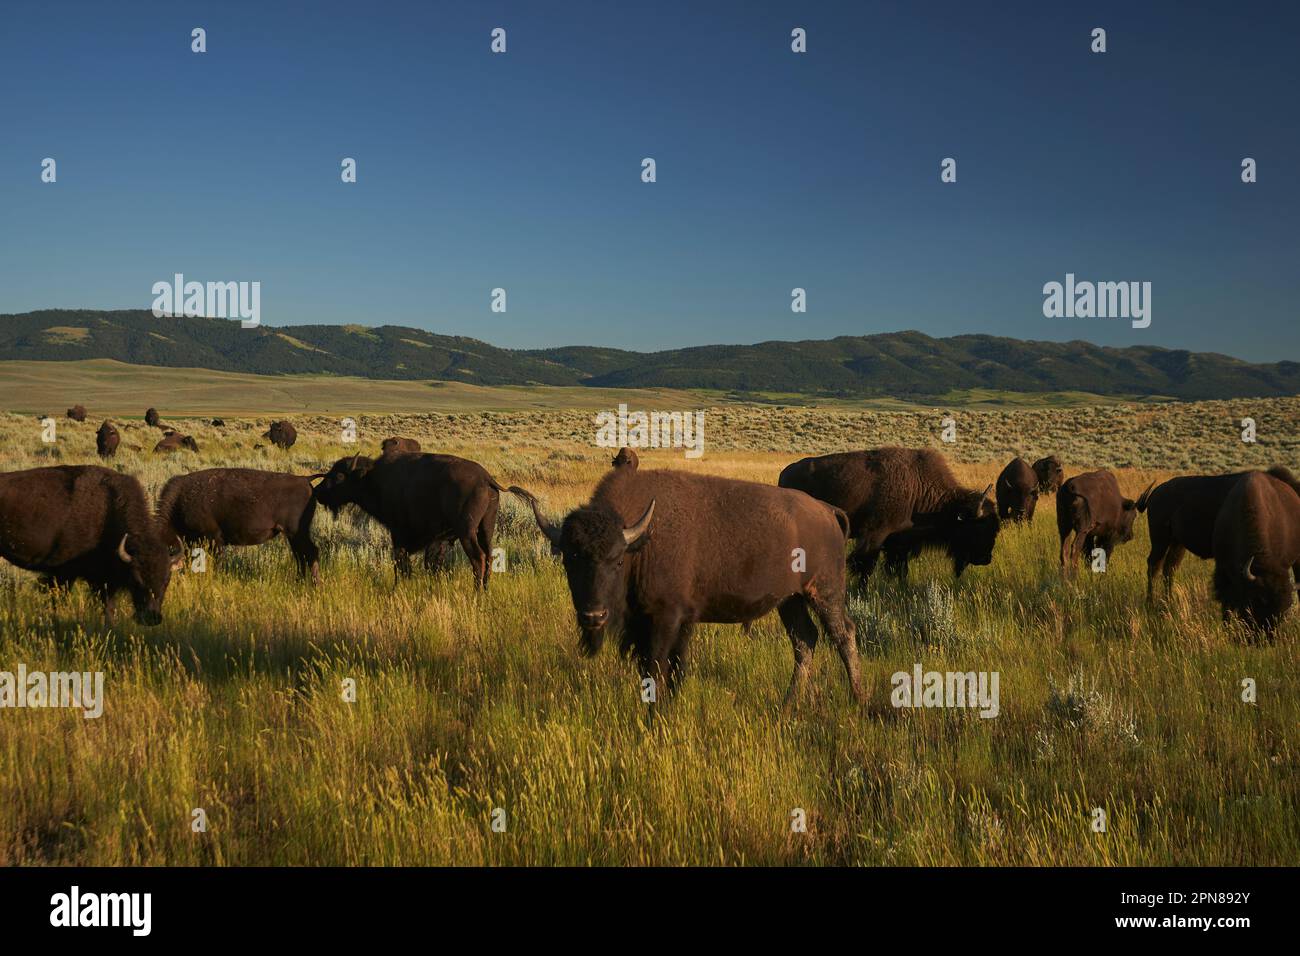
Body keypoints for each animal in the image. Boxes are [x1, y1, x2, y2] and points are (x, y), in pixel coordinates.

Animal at [0, 465, 183, 625]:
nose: (151, 618)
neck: (108, 509)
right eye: (136, 580)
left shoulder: (104, 581)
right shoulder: (63, 574)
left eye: (166, 580)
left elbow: (108, 609)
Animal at [159, 468, 323, 582]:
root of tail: (304, 479)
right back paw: (299, 581)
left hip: (297, 533)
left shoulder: (214, 540)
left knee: (310, 552)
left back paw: (315, 585)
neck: (179, 501)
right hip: (293, 535)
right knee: (300, 556)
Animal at [314, 453, 528, 589]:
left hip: (467, 532)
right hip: (486, 529)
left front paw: (398, 587)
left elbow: (401, 562)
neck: (372, 477)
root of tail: (486, 478)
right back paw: (485, 589)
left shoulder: (398, 533)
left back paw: (476, 593)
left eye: (339, 475)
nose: (318, 491)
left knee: (478, 558)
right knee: (489, 556)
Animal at [520, 467, 862, 708]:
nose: (593, 616)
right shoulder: (665, 622)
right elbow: (670, 669)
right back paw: (787, 705)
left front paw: (656, 716)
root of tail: (827, 511)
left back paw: (858, 700)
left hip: (824, 592)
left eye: (617, 561)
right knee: (805, 641)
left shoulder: (666, 618)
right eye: (569, 560)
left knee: (843, 635)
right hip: (790, 600)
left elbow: (656, 668)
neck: (641, 542)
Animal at [778, 447, 998, 580]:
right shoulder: (875, 536)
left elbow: (899, 569)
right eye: (977, 527)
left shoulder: (899, 542)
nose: (986, 558)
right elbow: (865, 567)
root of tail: (784, 473)